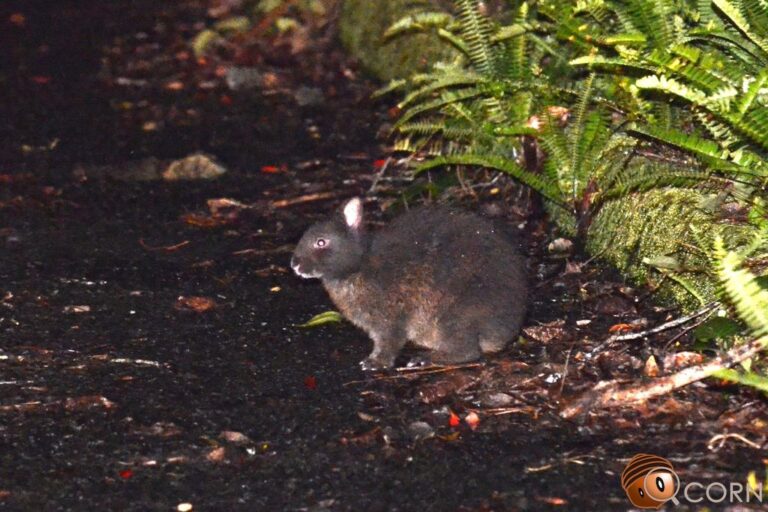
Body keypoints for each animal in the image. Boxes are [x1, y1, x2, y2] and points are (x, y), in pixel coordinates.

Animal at [291, 197, 527, 371]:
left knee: (467, 351)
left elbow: (388, 342)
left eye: (321, 242)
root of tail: (506, 331)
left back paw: (424, 359)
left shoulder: (391, 319)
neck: (359, 265)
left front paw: (375, 363)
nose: (294, 264)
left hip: (456, 316)